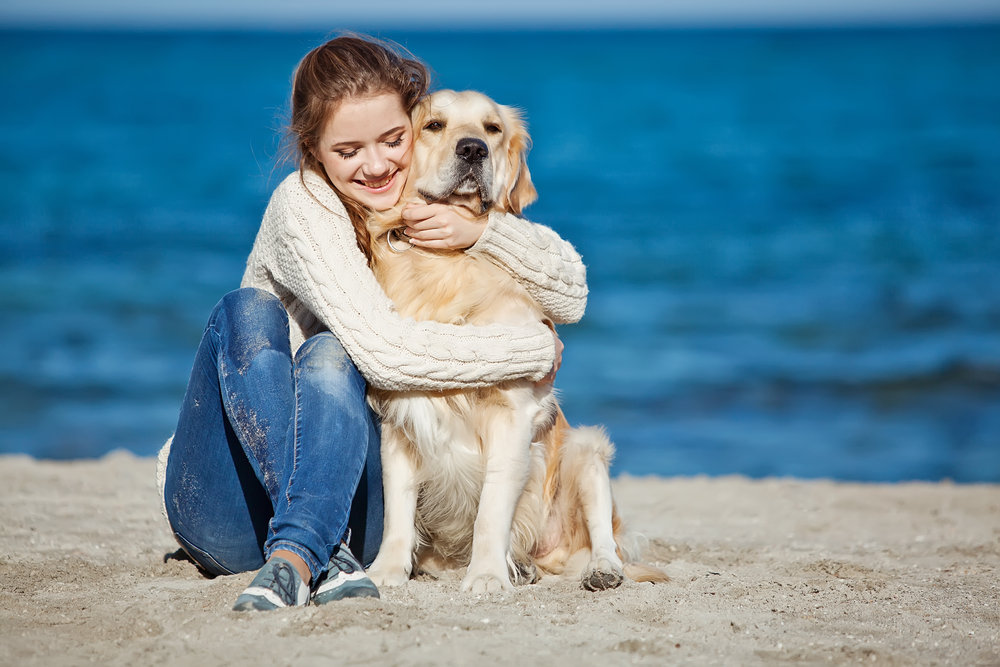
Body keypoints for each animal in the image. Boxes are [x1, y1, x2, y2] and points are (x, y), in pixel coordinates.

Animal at [364, 90, 668, 596]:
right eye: (433, 125)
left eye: (492, 129)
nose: (473, 150)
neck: (447, 266)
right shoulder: (400, 416)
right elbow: (397, 509)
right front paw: (385, 571)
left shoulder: (513, 414)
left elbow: (491, 509)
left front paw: (487, 575)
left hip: (586, 452)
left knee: (604, 539)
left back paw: (598, 570)